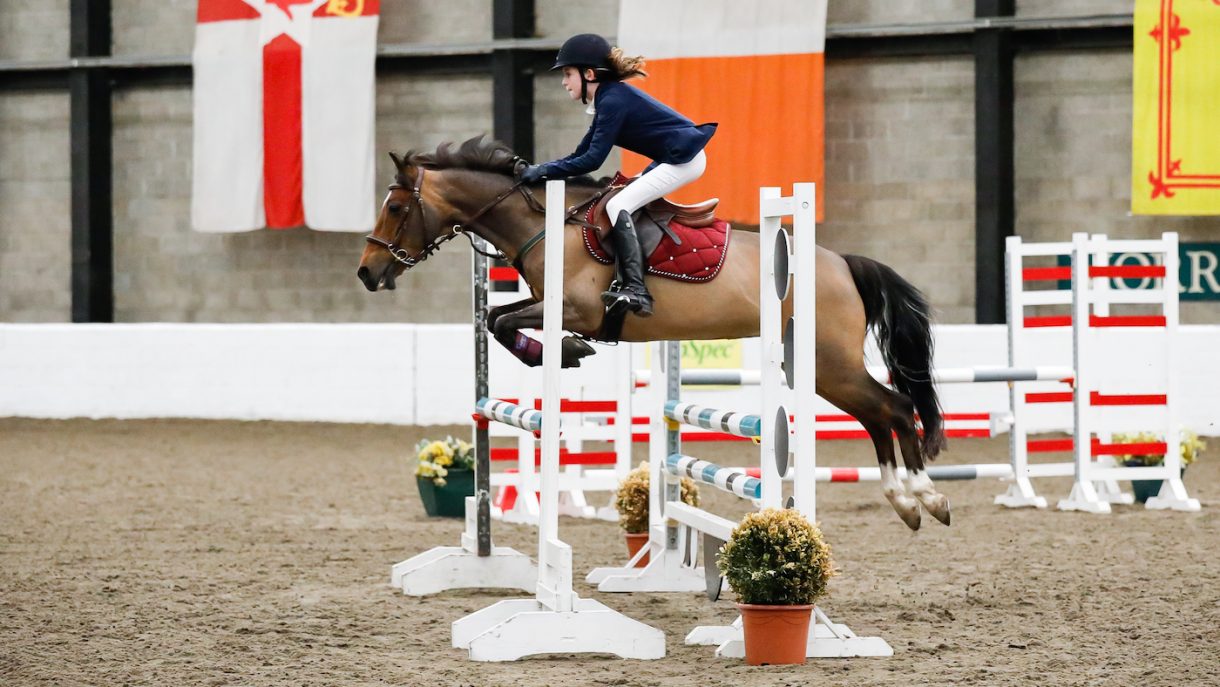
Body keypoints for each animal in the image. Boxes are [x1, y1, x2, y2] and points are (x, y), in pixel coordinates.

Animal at [357, 136, 951, 531]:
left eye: (395, 207)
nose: (367, 272)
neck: (544, 224)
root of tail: (843, 263)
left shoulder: (576, 308)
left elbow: (504, 321)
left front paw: (566, 351)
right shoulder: (548, 304)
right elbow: (495, 320)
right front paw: (562, 352)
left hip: (829, 361)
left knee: (896, 408)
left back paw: (927, 498)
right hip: (818, 366)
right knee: (877, 414)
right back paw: (906, 504)